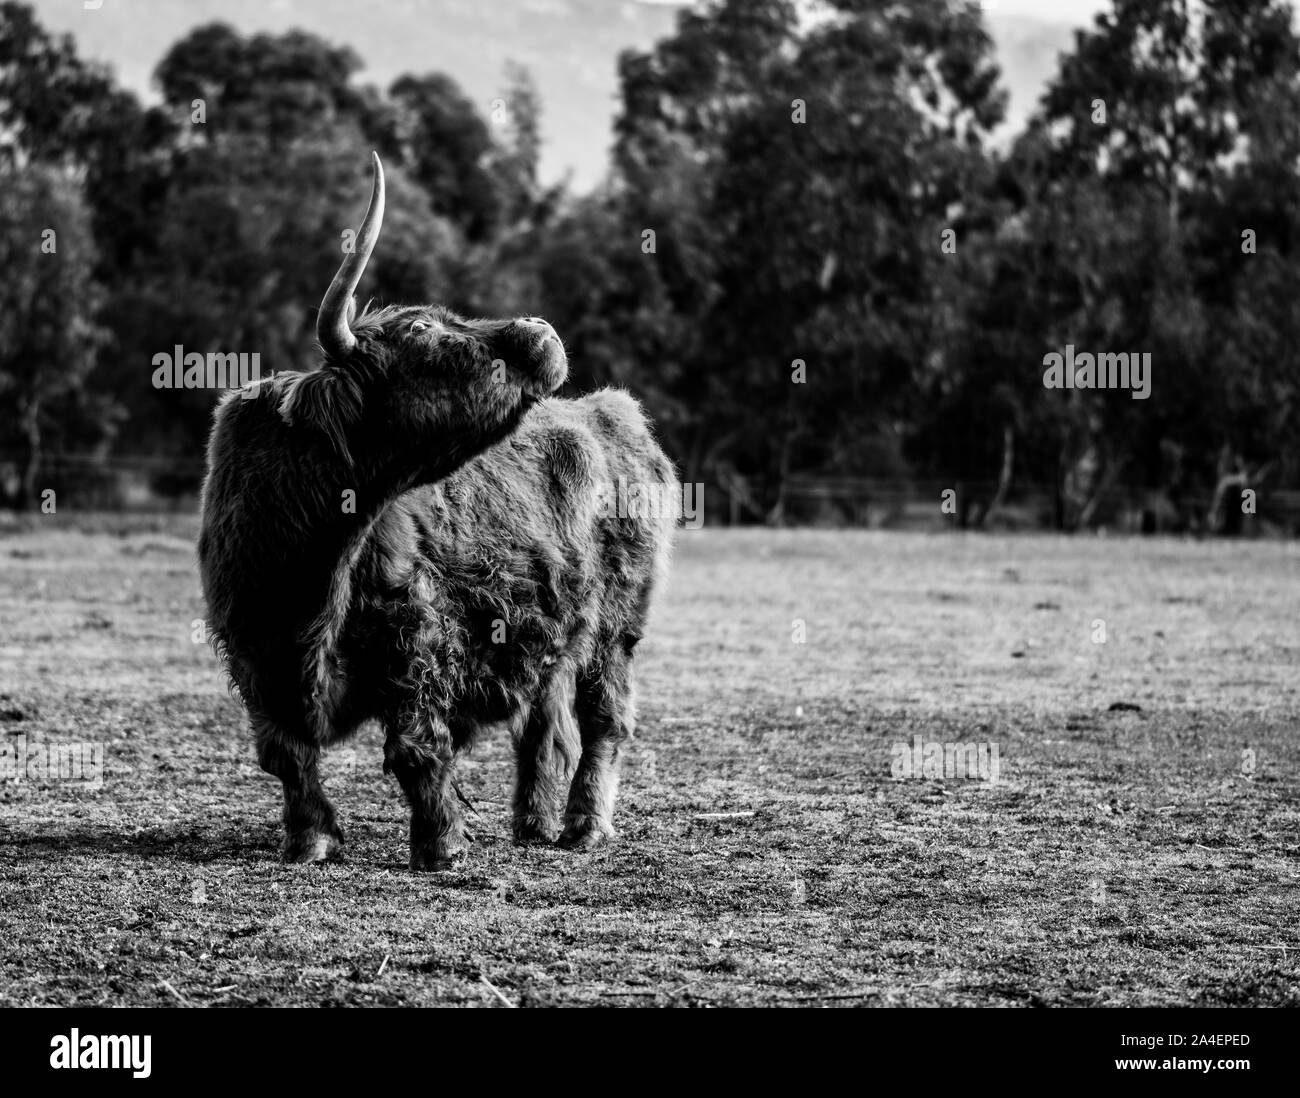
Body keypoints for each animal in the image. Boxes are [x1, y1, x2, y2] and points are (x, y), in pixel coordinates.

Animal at [198, 153, 678, 870]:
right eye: (423, 333)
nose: (540, 331)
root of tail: (613, 411)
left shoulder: (415, 633)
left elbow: (417, 746)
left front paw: (441, 842)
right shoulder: (254, 652)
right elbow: (284, 753)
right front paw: (310, 839)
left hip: (619, 624)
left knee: (603, 721)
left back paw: (584, 825)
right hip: (556, 624)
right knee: (546, 725)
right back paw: (534, 823)